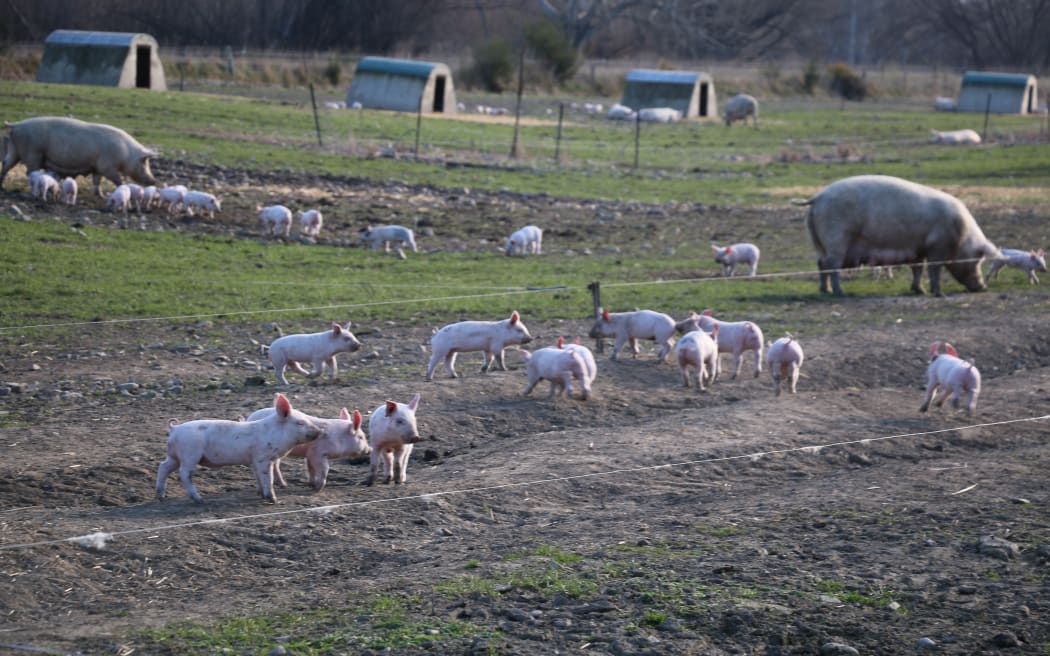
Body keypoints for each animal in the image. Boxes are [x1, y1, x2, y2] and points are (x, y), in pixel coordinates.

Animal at [1, 116, 156, 197]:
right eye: (144, 163)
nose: (154, 181)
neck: (127, 154)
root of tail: (18, 124)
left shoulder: (97, 167)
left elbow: (96, 181)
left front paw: (100, 195)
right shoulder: (107, 167)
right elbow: (117, 180)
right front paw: (118, 188)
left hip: (15, 150)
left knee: (6, 164)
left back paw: (2, 186)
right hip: (33, 153)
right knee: (30, 172)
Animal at [156, 393, 323, 504]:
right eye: (300, 423)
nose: (319, 431)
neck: (274, 432)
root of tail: (175, 429)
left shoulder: (255, 459)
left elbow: (258, 477)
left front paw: (260, 494)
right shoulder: (263, 458)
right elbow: (267, 477)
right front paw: (273, 500)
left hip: (174, 456)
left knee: (163, 467)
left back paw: (161, 496)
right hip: (190, 454)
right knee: (185, 473)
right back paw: (199, 499)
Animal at [794, 175, 1001, 297]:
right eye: (977, 260)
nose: (983, 287)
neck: (961, 237)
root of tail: (818, 197)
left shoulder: (918, 249)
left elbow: (918, 269)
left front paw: (920, 291)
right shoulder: (937, 247)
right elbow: (934, 270)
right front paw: (938, 294)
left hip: (819, 243)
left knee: (821, 264)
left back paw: (826, 291)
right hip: (836, 239)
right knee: (832, 266)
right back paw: (840, 292)